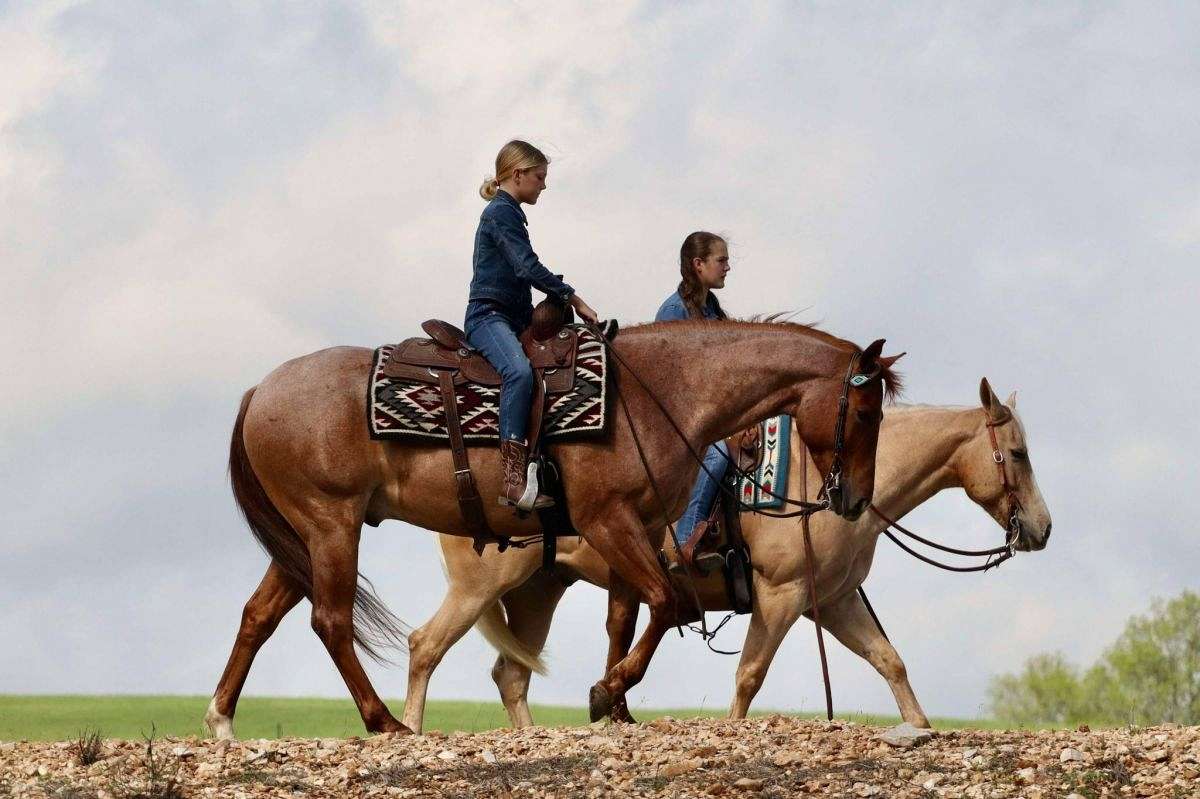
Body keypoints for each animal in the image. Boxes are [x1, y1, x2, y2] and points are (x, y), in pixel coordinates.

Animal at [205, 319, 903, 738]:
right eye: (867, 412)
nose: (853, 498)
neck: (663, 393)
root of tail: (259, 391)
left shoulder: (635, 525)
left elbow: (635, 613)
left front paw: (615, 703)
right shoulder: (607, 519)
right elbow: (668, 602)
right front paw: (605, 693)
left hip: (302, 537)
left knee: (258, 615)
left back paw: (222, 720)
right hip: (332, 525)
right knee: (332, 620)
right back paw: (386, 723)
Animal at [419, 378, 1049, 732]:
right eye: (1018, 453)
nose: (1042, 528)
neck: (823, 484)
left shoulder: (835, 600)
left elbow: (889, 660)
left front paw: (919, 726)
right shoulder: (782, 595)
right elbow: (750, 674)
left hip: (537, 591)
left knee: (511, 674)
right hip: (479, 588)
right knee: (427, 647)